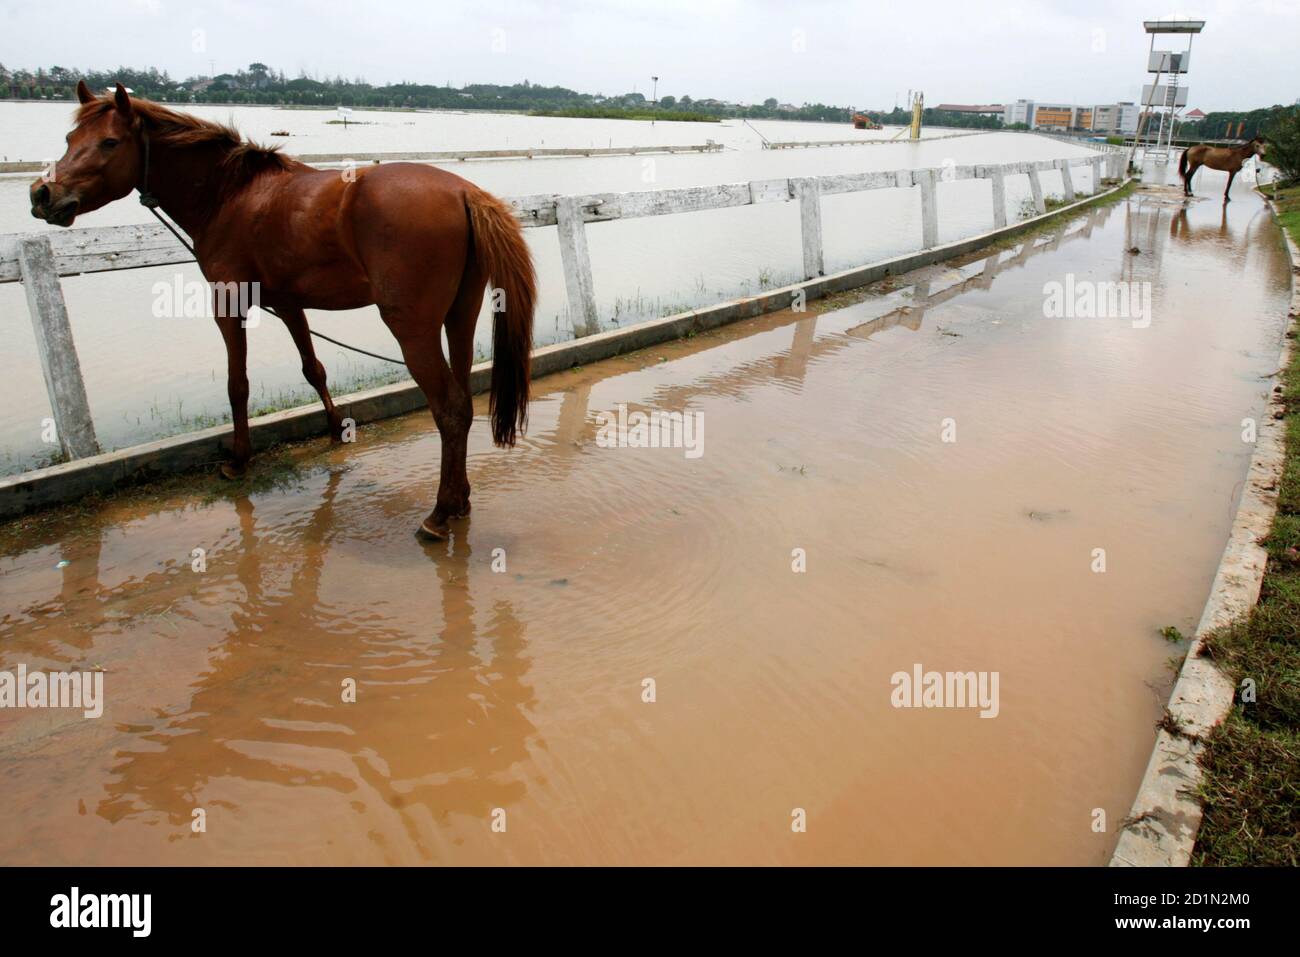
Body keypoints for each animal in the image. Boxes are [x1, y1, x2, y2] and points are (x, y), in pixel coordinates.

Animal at [30, 81, 536, 541]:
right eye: (70, 139)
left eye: (109, 142)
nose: (42, 194)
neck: (228, 195)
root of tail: (463, 192)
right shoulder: (289, 304)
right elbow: (314, 368)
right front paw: (334, 429)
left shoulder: (228, 301)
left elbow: (237, 385)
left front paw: (238, 459)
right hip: (459, 318)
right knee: (464, 403)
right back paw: (461, 500)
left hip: (413, 330)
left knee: (449, 409)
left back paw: (439, 513)